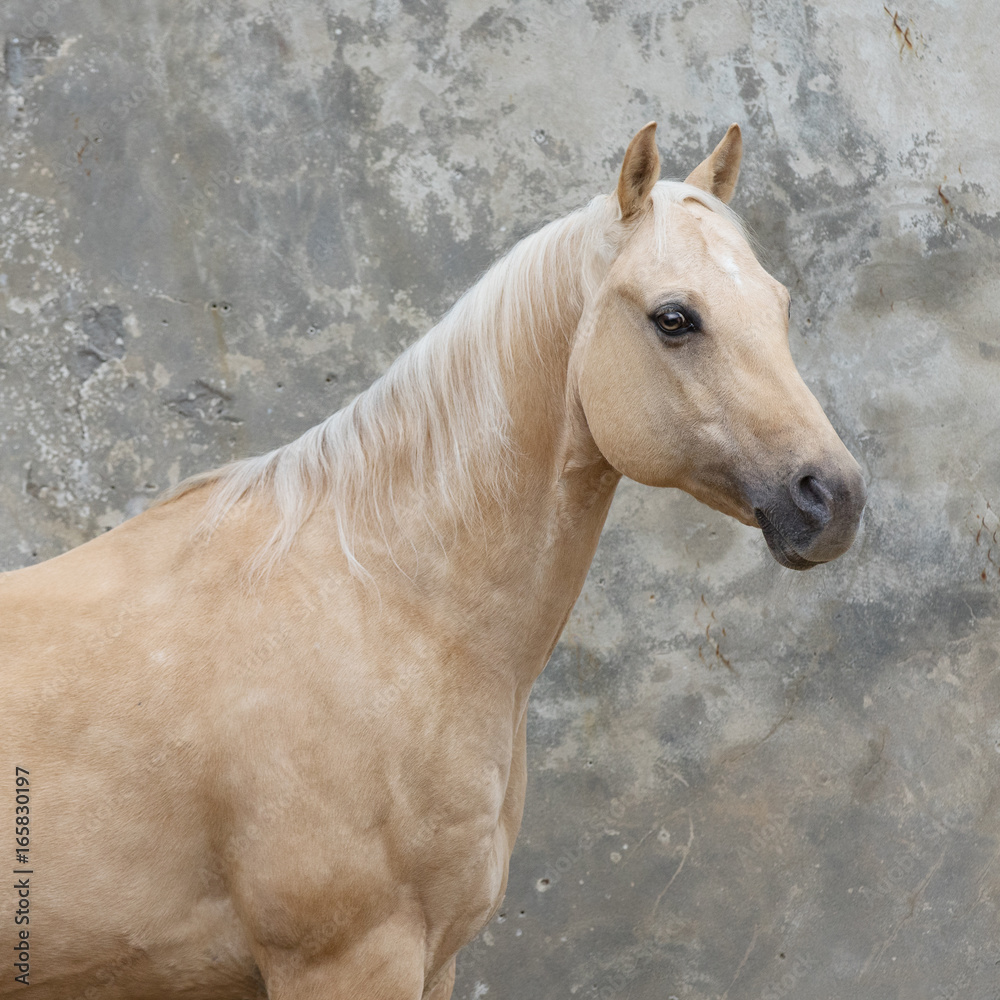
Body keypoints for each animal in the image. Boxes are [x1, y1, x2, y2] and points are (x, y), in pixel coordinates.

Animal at [1, 122, 865, 999]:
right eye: (675, 318)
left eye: (778, 305)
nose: (834, 498)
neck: (390, 605)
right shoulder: (350, 960)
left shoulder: (436, 958)